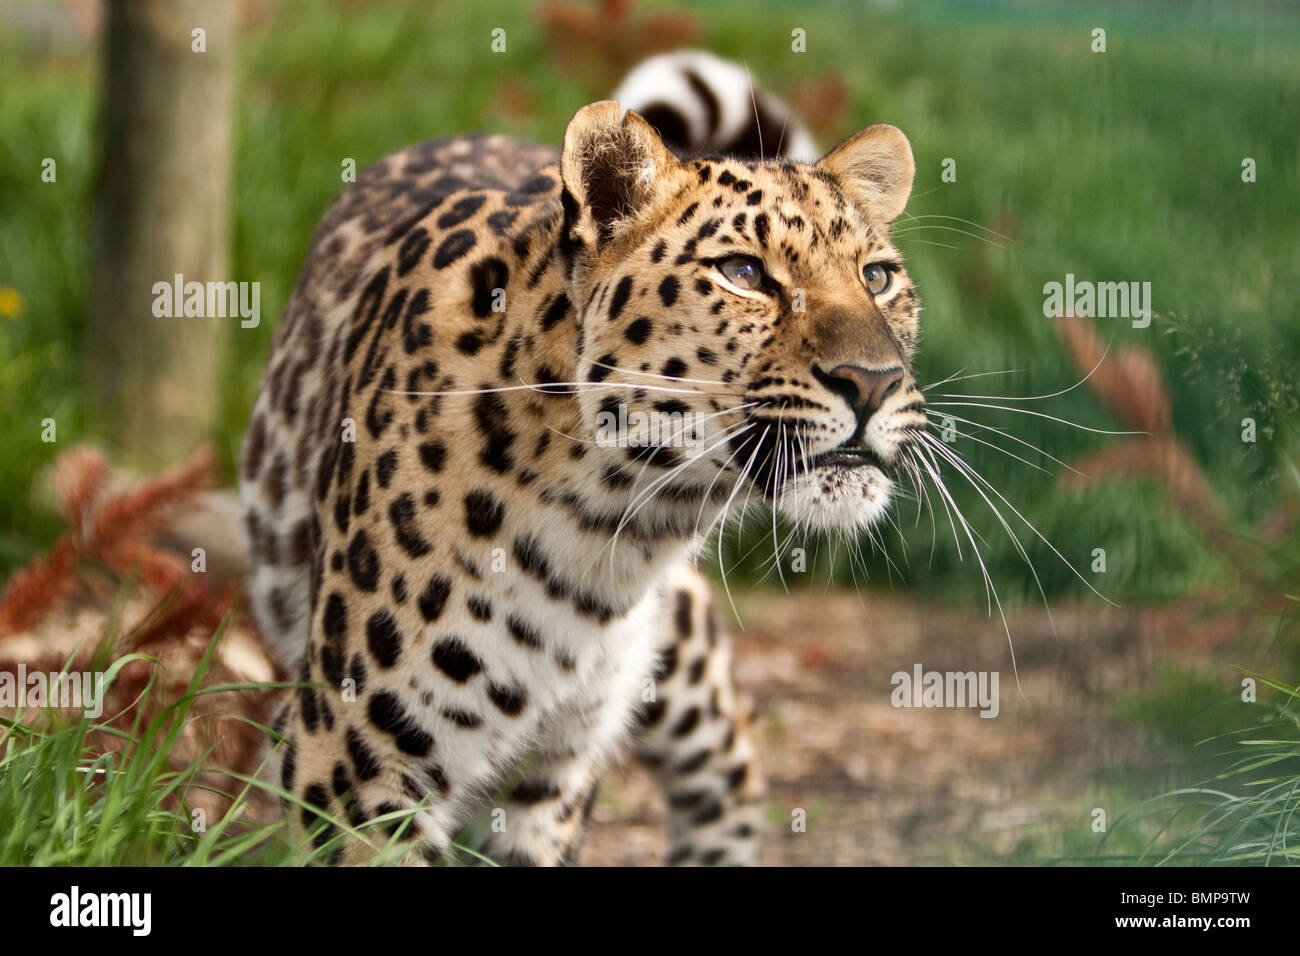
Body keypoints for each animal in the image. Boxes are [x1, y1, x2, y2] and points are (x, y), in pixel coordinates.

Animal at [240, 54, 927, 866]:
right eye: (744, 273)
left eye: (877, 277)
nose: (873, 381)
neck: (603, 534)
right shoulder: (354, 767)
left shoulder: (552, 783)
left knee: (729, 768)